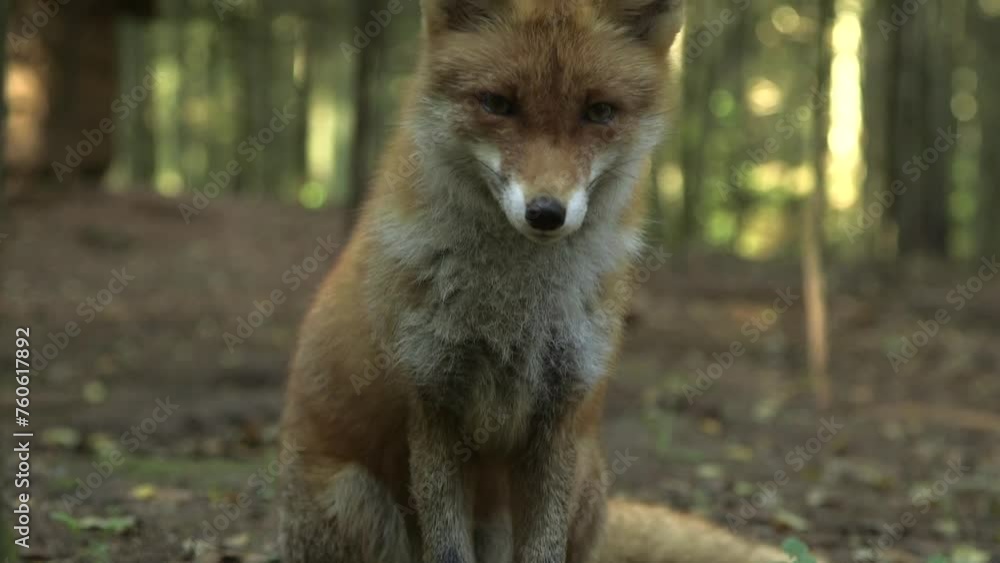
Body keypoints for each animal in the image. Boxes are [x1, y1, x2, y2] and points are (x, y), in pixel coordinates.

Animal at [278, 0, 796, 562]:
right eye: (498, 104)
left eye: (600, 111)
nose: (546, 212)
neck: (515, 312)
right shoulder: (433, 406)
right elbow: (447, 547)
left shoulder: (559, 414)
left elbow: (543, 546)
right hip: (357, 500)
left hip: (588, 480)